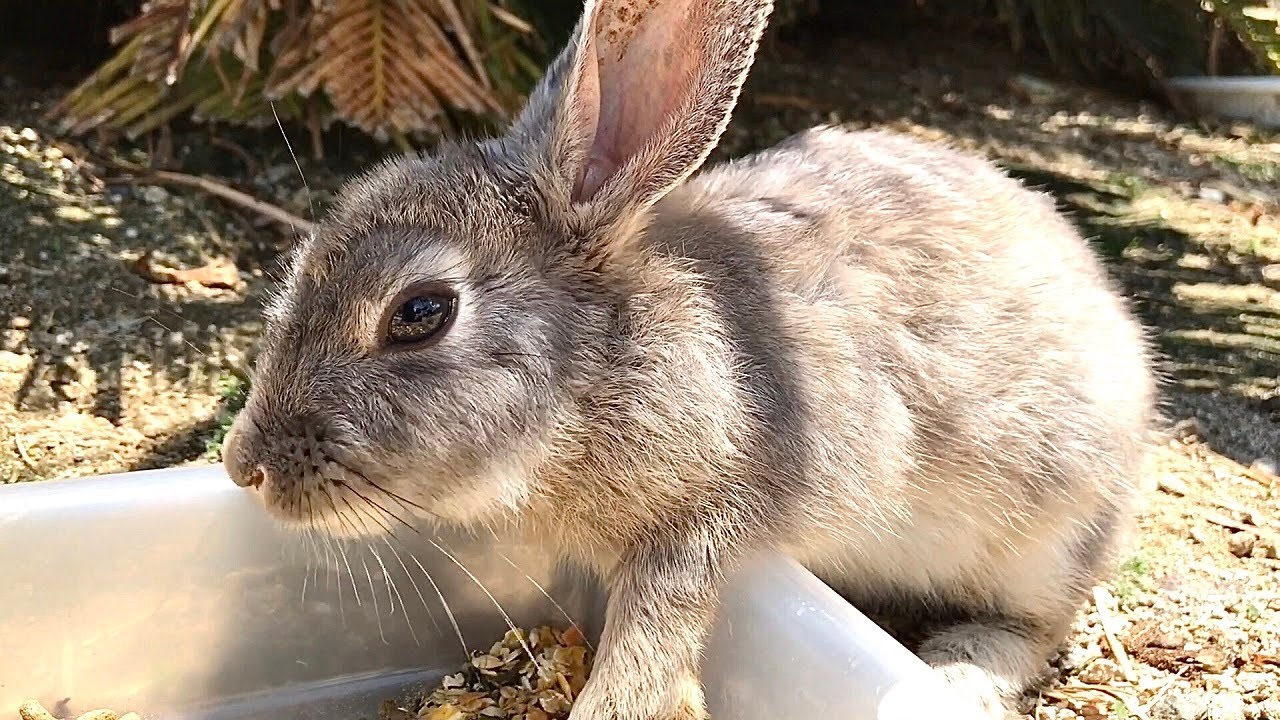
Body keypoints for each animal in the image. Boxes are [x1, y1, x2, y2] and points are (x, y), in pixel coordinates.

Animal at [221, 0, 1158, 717]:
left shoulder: (711, 512)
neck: (595, 371)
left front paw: (615, 704)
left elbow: (657, 625)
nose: (243, 467)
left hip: (1046, 532)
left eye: (420, 314)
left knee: (1037, 628)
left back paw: (955, 673)